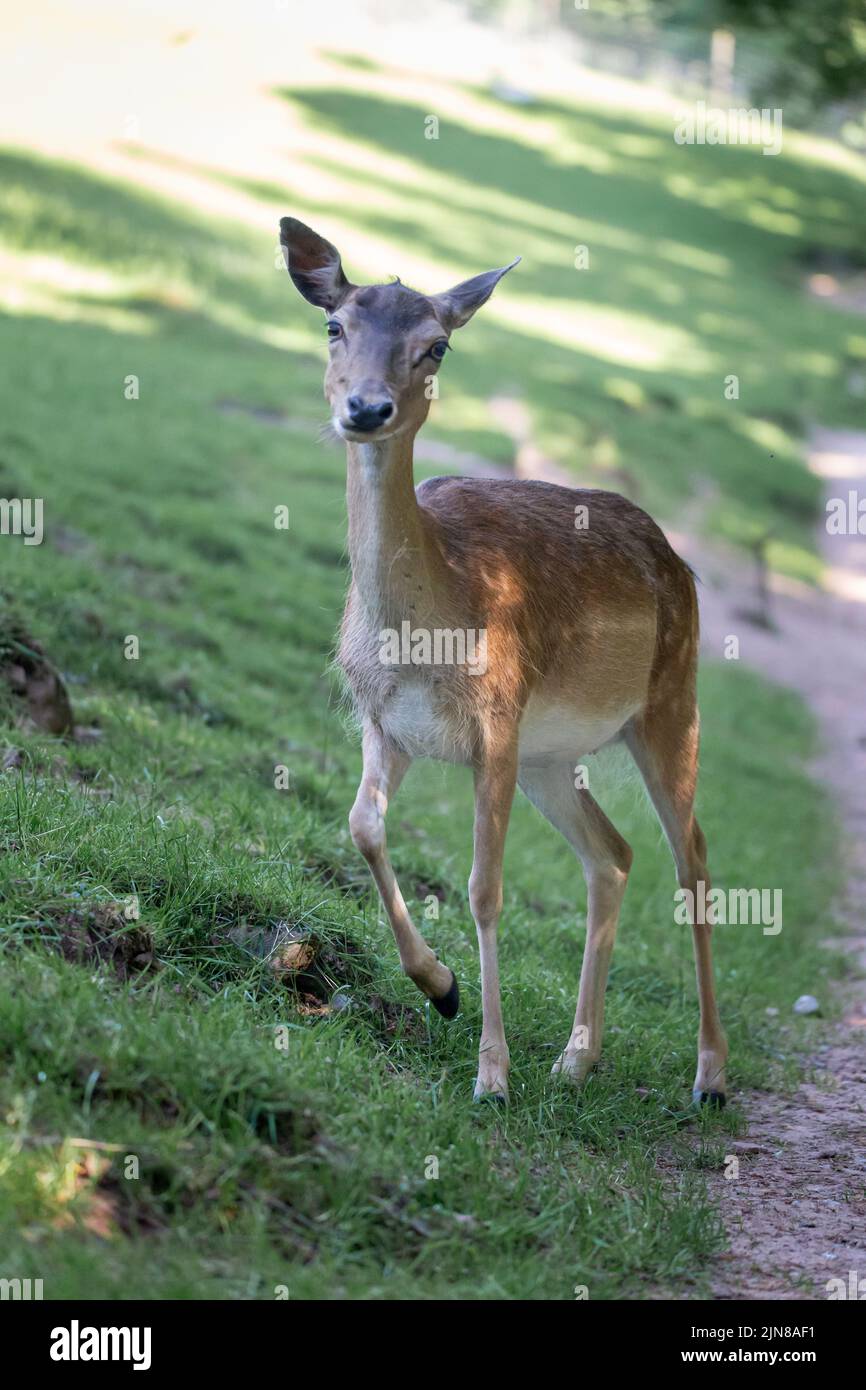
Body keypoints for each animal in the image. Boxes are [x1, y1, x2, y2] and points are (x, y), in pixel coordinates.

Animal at [279, 217, 727, 1107]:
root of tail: (677, 559)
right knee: (613, 856)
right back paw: (577, 1057)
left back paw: (710, 1073)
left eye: (437, 346)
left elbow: (485, 888)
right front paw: (441, 988)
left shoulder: (497, 721)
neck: (422, 635)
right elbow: (362, 827)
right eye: (334, 325)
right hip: (552, 758)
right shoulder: (386, 722)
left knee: (691, 859)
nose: (367, 407)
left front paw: (492, 1072)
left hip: (671, 703)